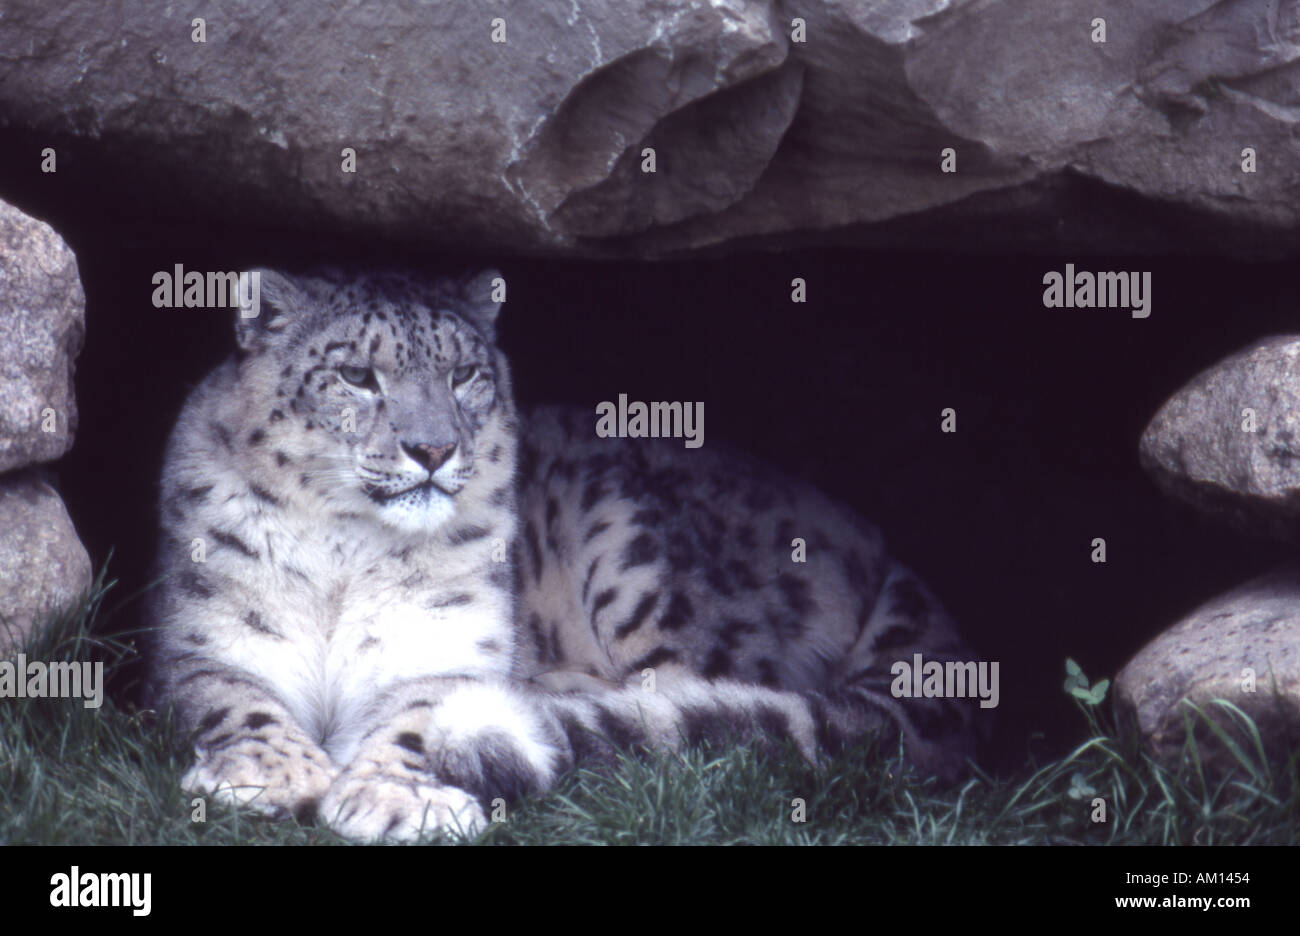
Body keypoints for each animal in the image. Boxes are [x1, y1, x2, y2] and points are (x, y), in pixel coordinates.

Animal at [145, 266, 987, 842]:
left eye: (464, 373)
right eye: (356, 375)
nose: (432, 448)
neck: (347, 554)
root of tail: (883, 551)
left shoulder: (445, 656)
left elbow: (416, 716)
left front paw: (396, 799)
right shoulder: (203, 642)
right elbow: (236, 699)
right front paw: (273, 775)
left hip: (637, 556)